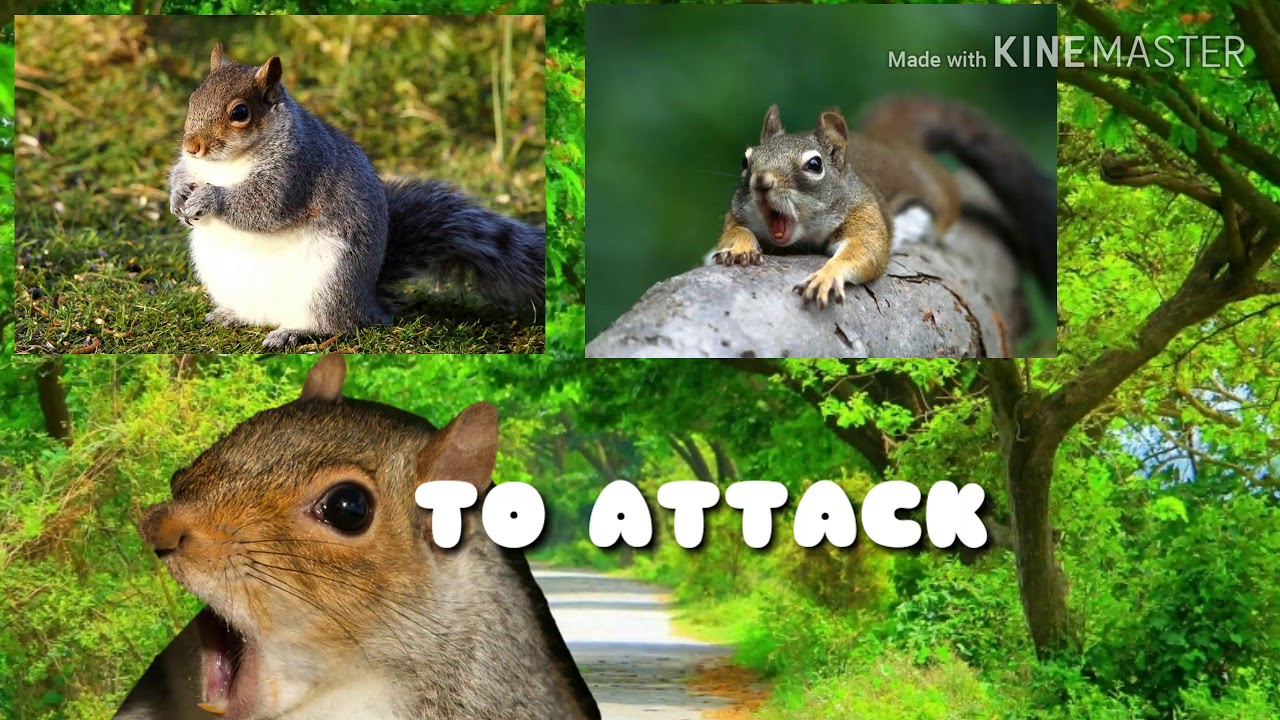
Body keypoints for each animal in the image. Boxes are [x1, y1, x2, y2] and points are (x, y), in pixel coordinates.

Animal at [169, 44, 545, 350]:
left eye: (240, 113)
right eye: (192, 98)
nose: (191, 146)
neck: (227, 164)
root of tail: (368, 303)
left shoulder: (296, 172)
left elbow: (263, 206)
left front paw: (209, 199)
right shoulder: (195, 167)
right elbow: (182, 174)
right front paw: (177, 196)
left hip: (326, 287)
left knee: (334, 325)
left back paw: (290, 333)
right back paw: (231, 315)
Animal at [708, 98, 1055, 309]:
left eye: (814, 165)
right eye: (745, 160)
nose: (761, 182)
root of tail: (893, 142)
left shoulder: (866, 210)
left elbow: (868, 249)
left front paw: (827, 275)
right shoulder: (738, 212)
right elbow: (734, 231)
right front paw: (738, 247)